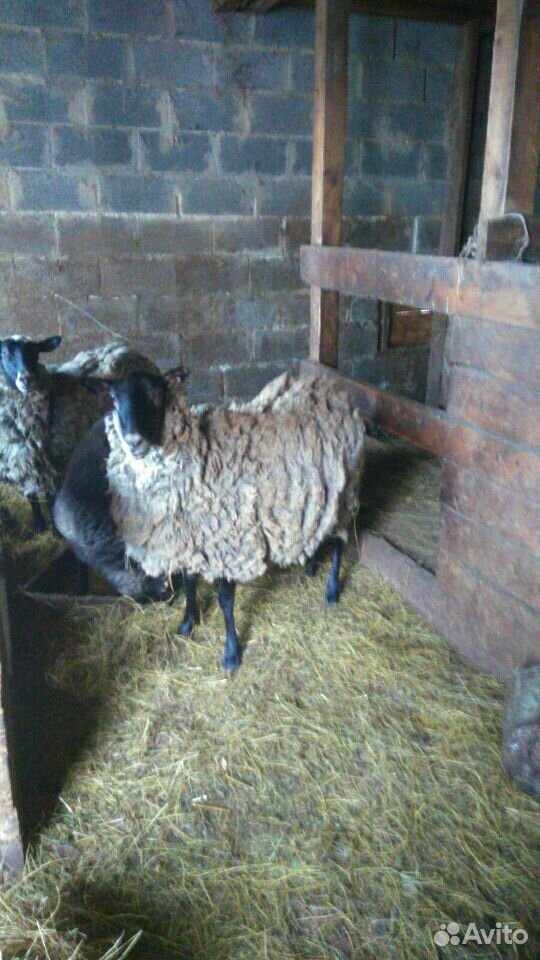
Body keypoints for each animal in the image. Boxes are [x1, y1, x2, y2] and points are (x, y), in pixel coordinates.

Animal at [0, 334, 158, 530]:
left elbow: (50, 500)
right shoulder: (23, 463)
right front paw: (39, 525)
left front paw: (56, 531)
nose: (26, 378)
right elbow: (32, 497)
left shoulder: (54, 461)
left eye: (35, 353)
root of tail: (127, 350)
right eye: (4, 352)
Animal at [61, 369, 365, 670]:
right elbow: (189, 582)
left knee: (339, 541)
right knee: (317, 527)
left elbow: (225, 602)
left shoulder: (229, 543)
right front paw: (188, 622)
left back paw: (332, 590)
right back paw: (311, 565)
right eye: (113, 398)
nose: (134, 441)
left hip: (344, 490)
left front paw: (231, 653)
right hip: (317, 498)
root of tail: (330, 386)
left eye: (157, 393)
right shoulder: (187, 539)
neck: (200, 454)